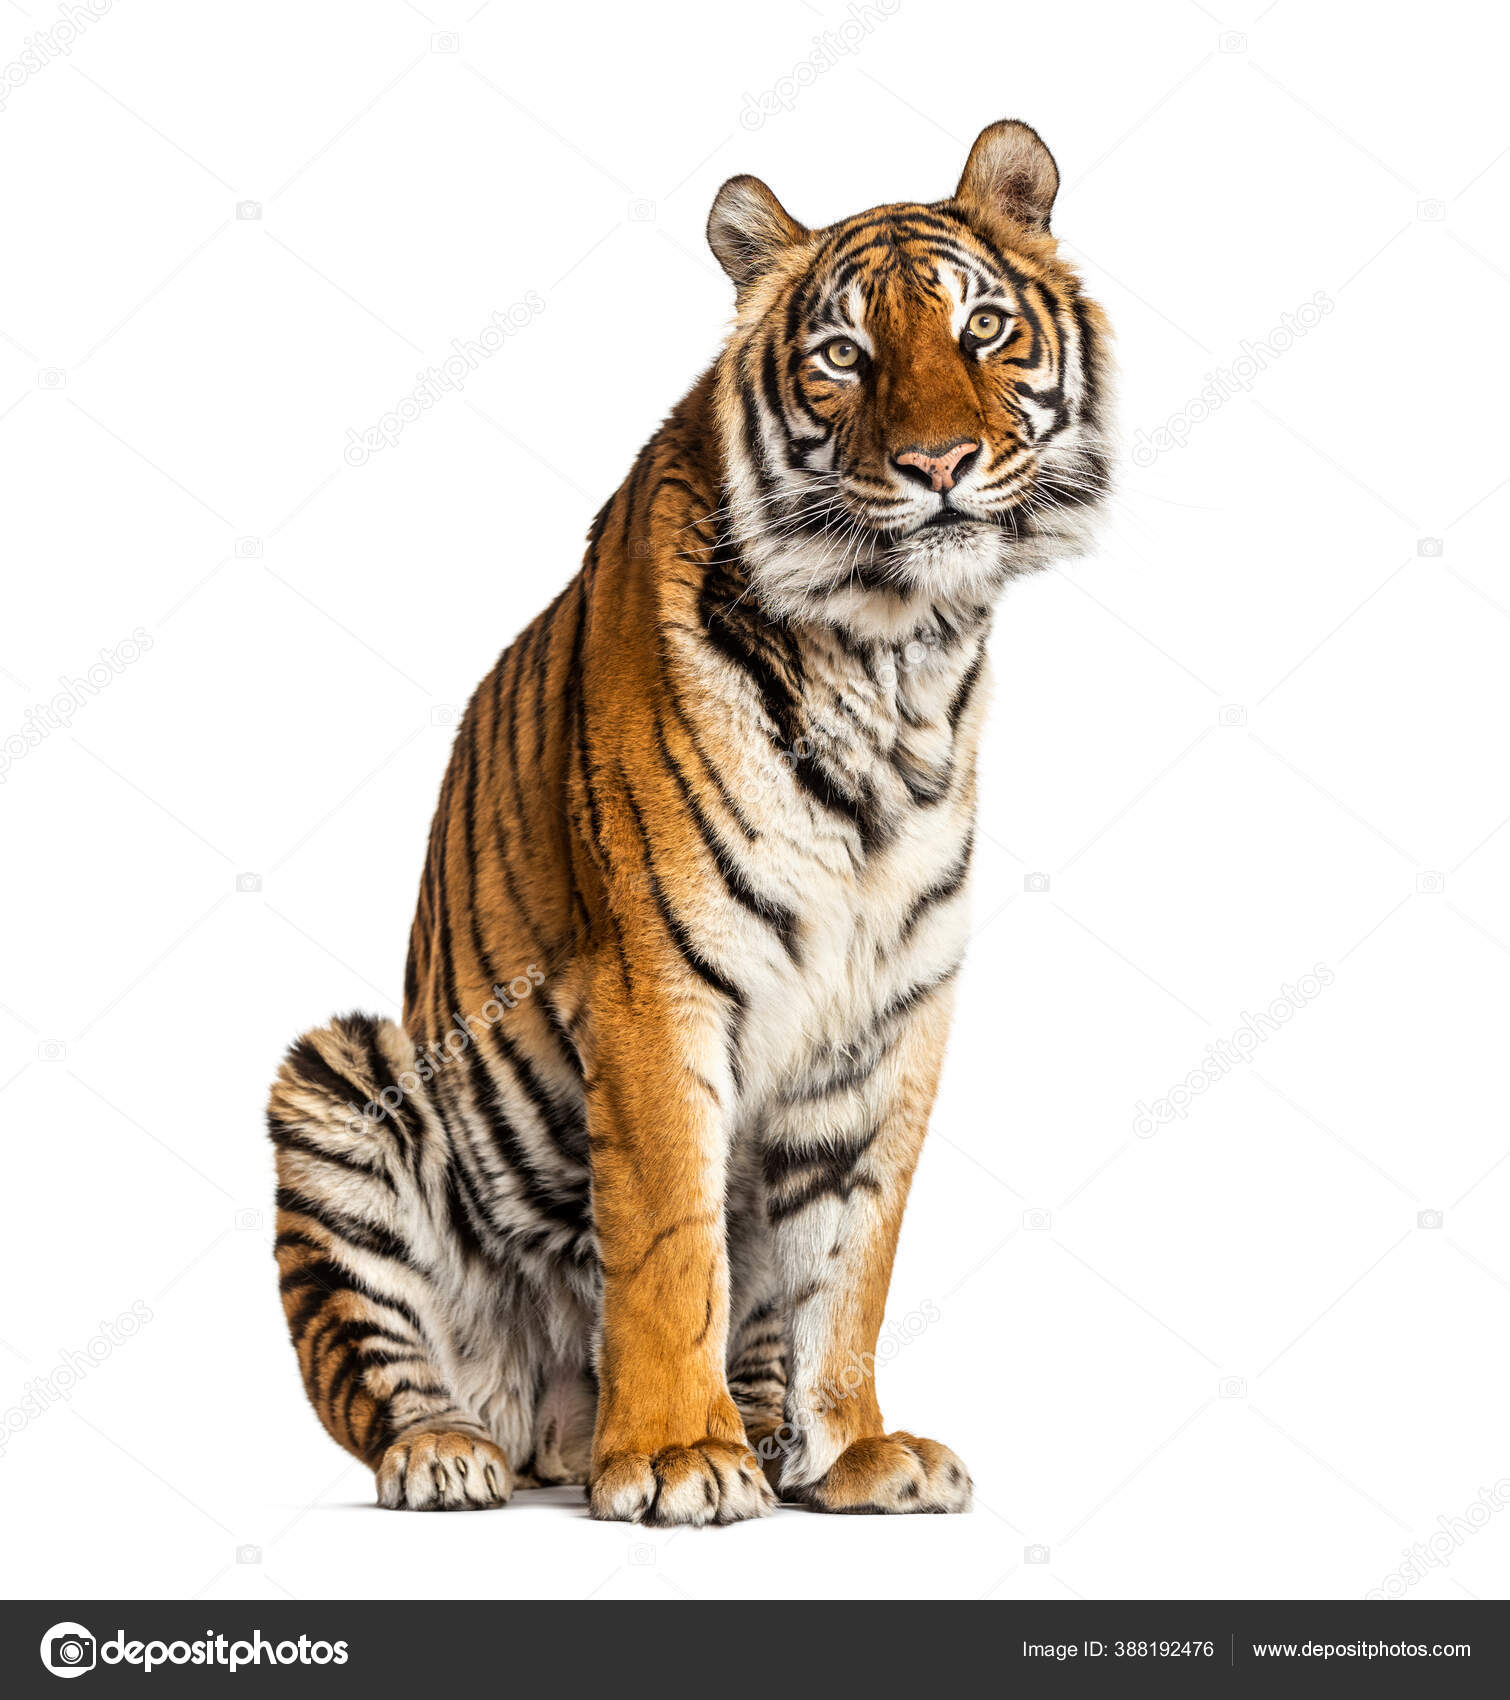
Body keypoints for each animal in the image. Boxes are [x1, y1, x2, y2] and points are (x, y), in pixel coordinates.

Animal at [267, 118, 1112, 1525]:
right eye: (844, 355)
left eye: (983, 328)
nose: (938, 465)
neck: (895, 658)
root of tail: (547, 1425)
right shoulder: (653, 984)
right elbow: (669, 1238)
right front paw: (672, 1453)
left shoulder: (887, 1018)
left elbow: (848, 1261)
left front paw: (855, 1450)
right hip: (342, 1075)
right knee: (373, 1369)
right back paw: (454, 1451)